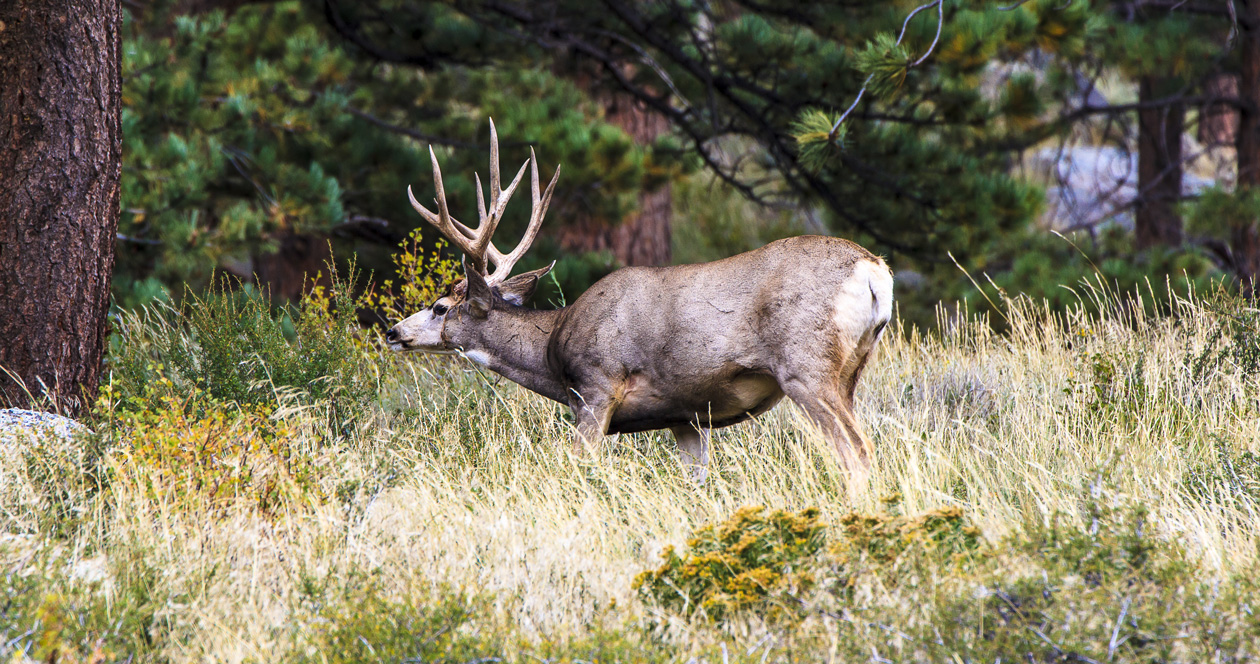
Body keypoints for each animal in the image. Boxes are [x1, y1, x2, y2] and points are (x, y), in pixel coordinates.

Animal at [385, 121, 894, 484]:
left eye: (439, 306)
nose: (392, 332)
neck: (550, 354)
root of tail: (873, 271)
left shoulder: (597, 387)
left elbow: (581, 469)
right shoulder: (685, 416)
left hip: (805, 365)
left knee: (857, 452)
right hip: (852, 370)